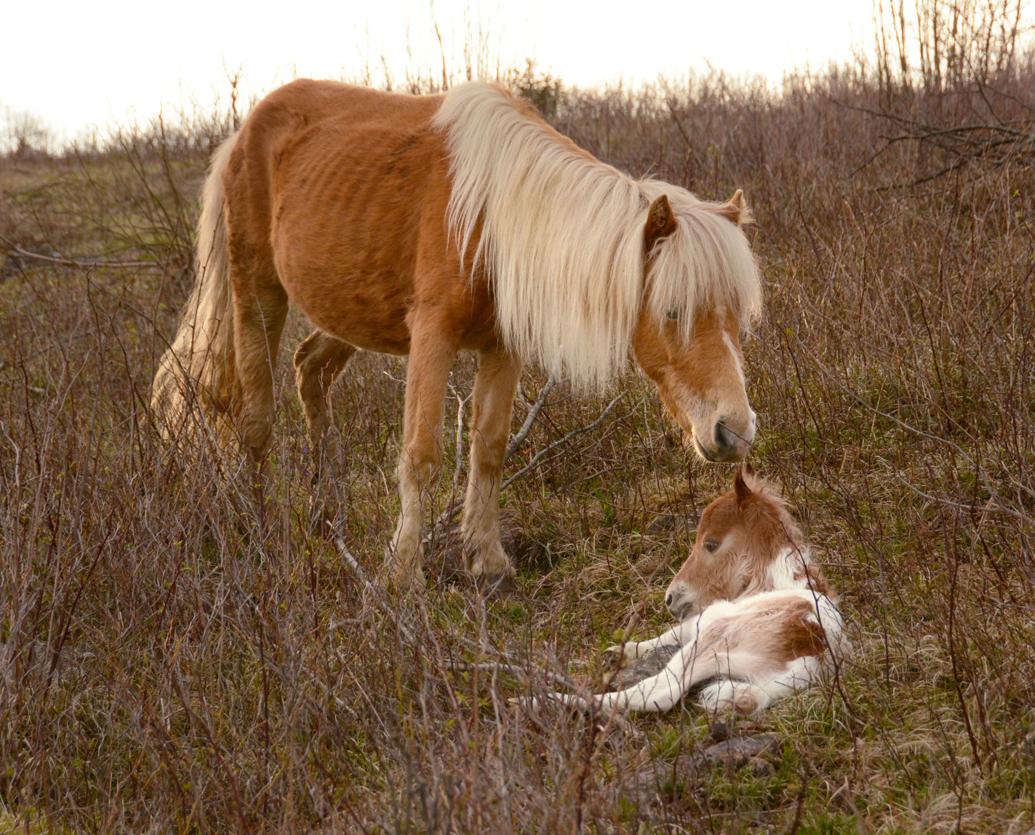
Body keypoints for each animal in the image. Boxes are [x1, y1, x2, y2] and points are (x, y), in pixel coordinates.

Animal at [150, 79, 763, 589]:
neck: (494, 219)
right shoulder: (432, 338)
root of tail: (244, 132)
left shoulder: (502, 348)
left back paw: (325, 514)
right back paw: (262, 530)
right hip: (257, 293)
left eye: (737, 317)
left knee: (310, 371)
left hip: (346, 311)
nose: (733, 431)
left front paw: (487, 563)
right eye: (673, 311)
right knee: (255, 417)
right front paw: (403, 573)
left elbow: (489, 448)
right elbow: (421, 453)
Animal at [534, 468, 844, 715]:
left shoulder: (713, 618)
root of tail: (813, 652)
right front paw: (619, 651)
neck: (778, 580)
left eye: (711, 544)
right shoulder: (706, 616)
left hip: (711, 642)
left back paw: (538, 700)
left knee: (658, 693)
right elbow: (672, 633)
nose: (670, 598)